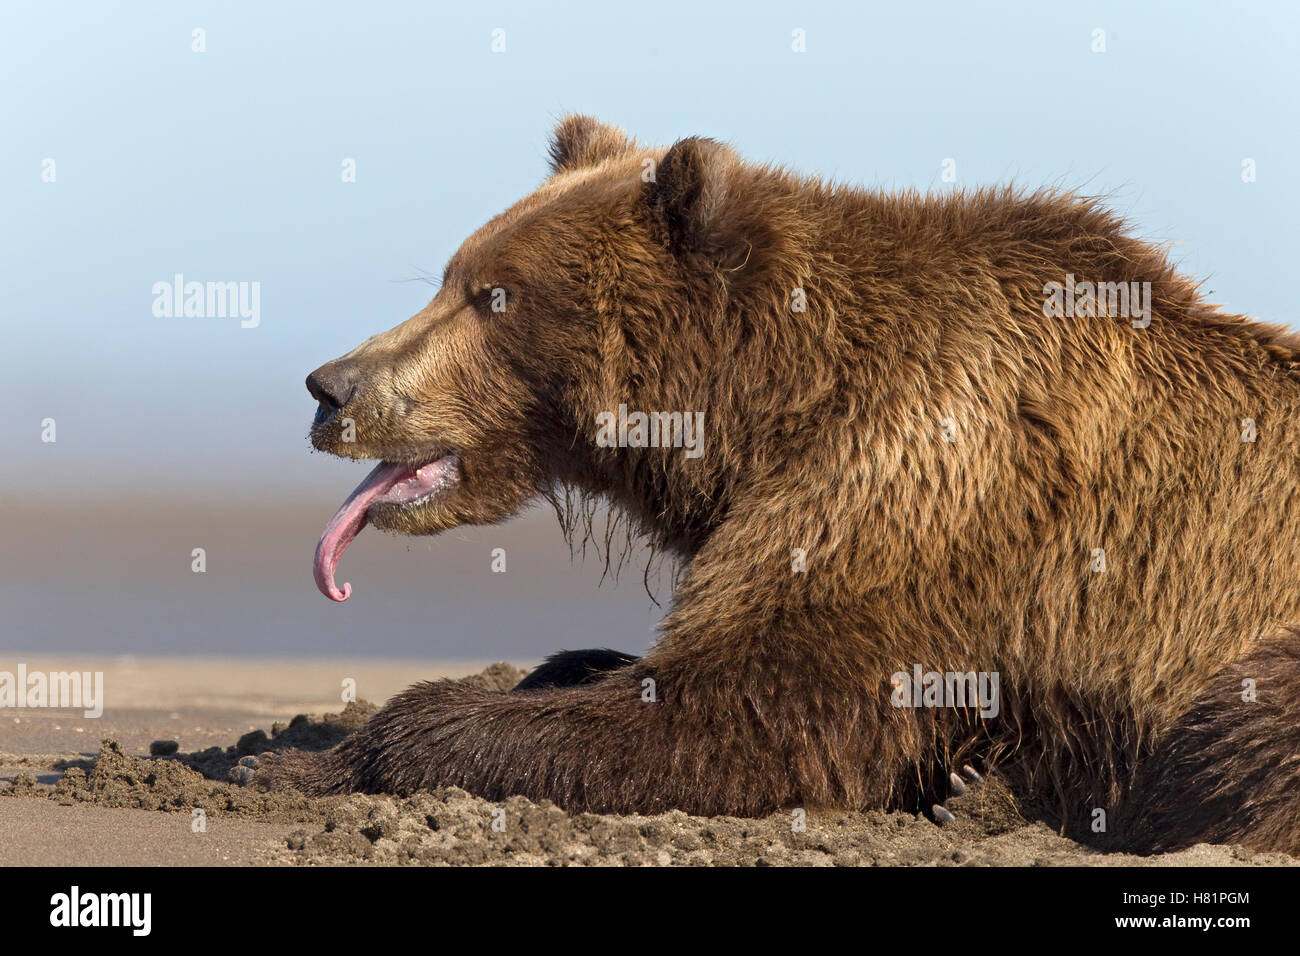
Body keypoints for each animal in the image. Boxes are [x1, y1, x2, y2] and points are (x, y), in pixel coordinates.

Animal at [277, 115, 1300, 855]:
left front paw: (331, 756)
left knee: (1236, 735)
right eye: (450, 278)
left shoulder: (916, 484)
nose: (332, 386)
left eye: (494, 295)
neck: (764, 406)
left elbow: (749, 712)